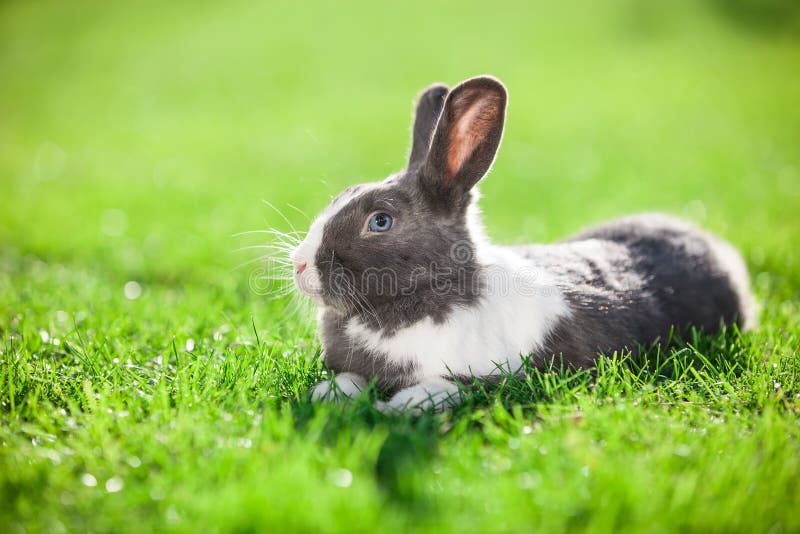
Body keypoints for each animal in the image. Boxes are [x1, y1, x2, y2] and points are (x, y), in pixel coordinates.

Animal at [289, 75, 757, 413]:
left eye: (381, 221)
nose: (299, 265)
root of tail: (714, 247)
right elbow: (346, 381)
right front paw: (330, 395)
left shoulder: (486, 376)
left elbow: (441, 388)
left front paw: (400, 406)